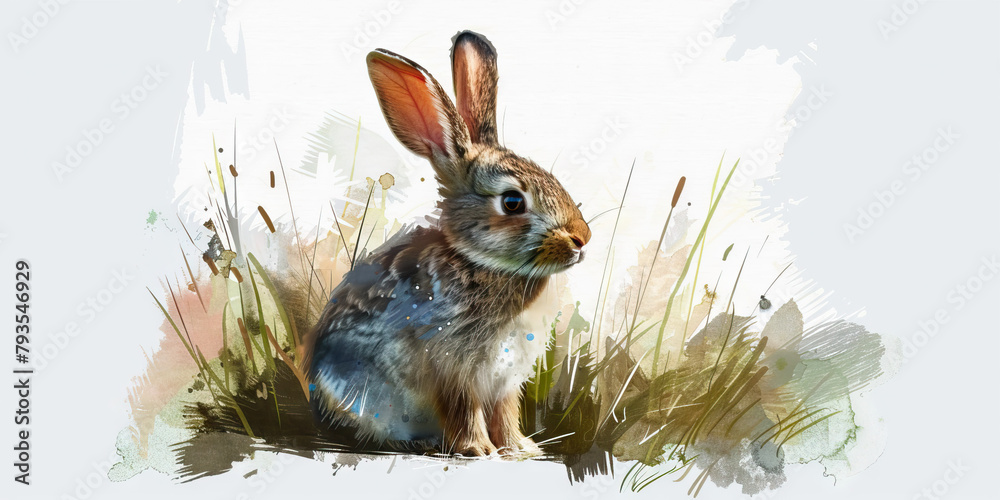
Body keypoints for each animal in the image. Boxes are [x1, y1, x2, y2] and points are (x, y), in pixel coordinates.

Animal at [304, 31, 591, 456]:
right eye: (512, 202)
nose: (582, 239)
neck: (484, 264)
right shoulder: (452, 366)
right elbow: (464, 409)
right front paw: (479, 450)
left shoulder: (505, 380)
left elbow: (506, 414)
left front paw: (521, 449)